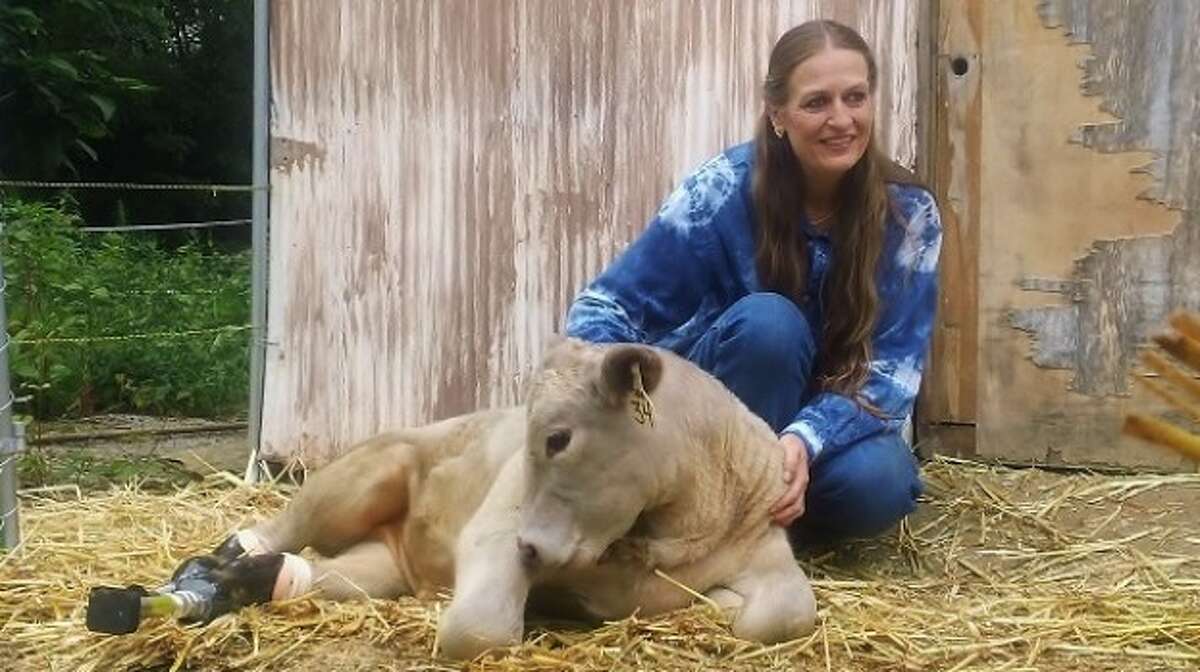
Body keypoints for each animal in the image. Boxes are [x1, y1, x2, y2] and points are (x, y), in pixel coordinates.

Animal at [195, 337, 817, 660]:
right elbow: (478, 629)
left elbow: (787, 613)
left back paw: (244, 579)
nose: (532, 549)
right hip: (365, 473)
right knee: (287, 523)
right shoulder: (496, 531)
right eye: (532, 437)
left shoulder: (767, 548)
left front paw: (724, 604)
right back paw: (227, 555)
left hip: (380, 565)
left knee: (320, 575)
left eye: (559, 437)